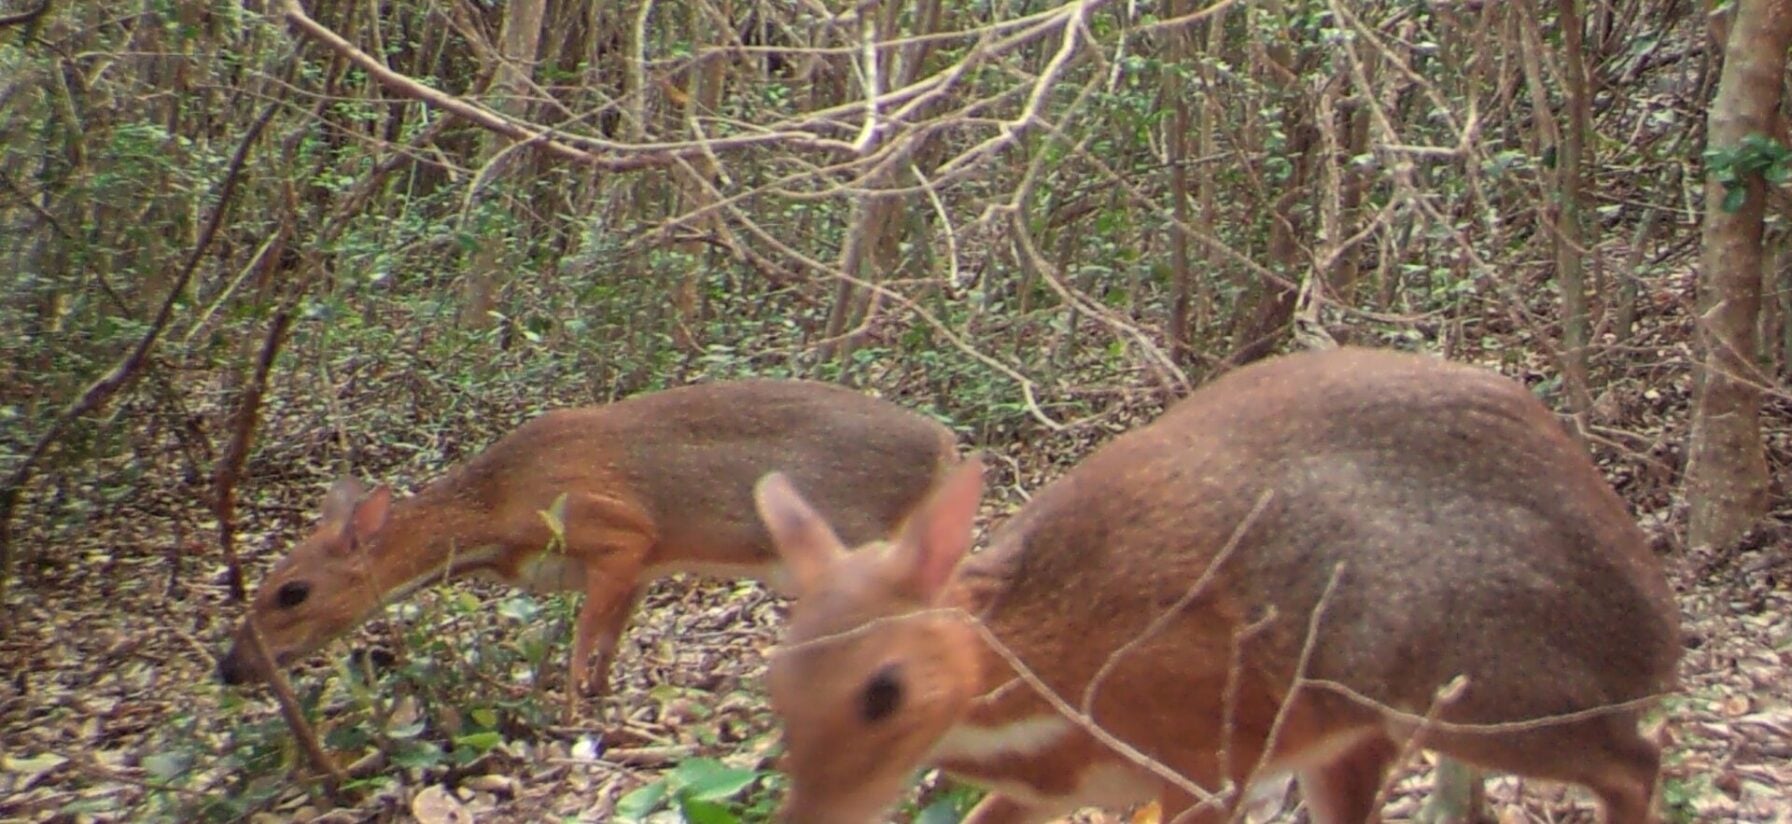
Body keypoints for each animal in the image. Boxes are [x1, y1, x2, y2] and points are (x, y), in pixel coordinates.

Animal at [216, 379, 960, 718]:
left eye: (291, 592)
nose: (229, 667)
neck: (499, 509)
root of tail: (945, 444)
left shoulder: (617, 530)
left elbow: (583, 640)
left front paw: (570, 709)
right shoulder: (641, 565)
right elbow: (608, 640)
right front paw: (599, 697)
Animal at [752, 347, 1682, 824]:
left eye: (883, 691)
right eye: (776, 684)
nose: (809, 818)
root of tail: (1659, 638)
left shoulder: (1207, 764)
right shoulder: (1050, 794)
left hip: (1476, 692)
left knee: (1638, 758)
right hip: (1354, 735)